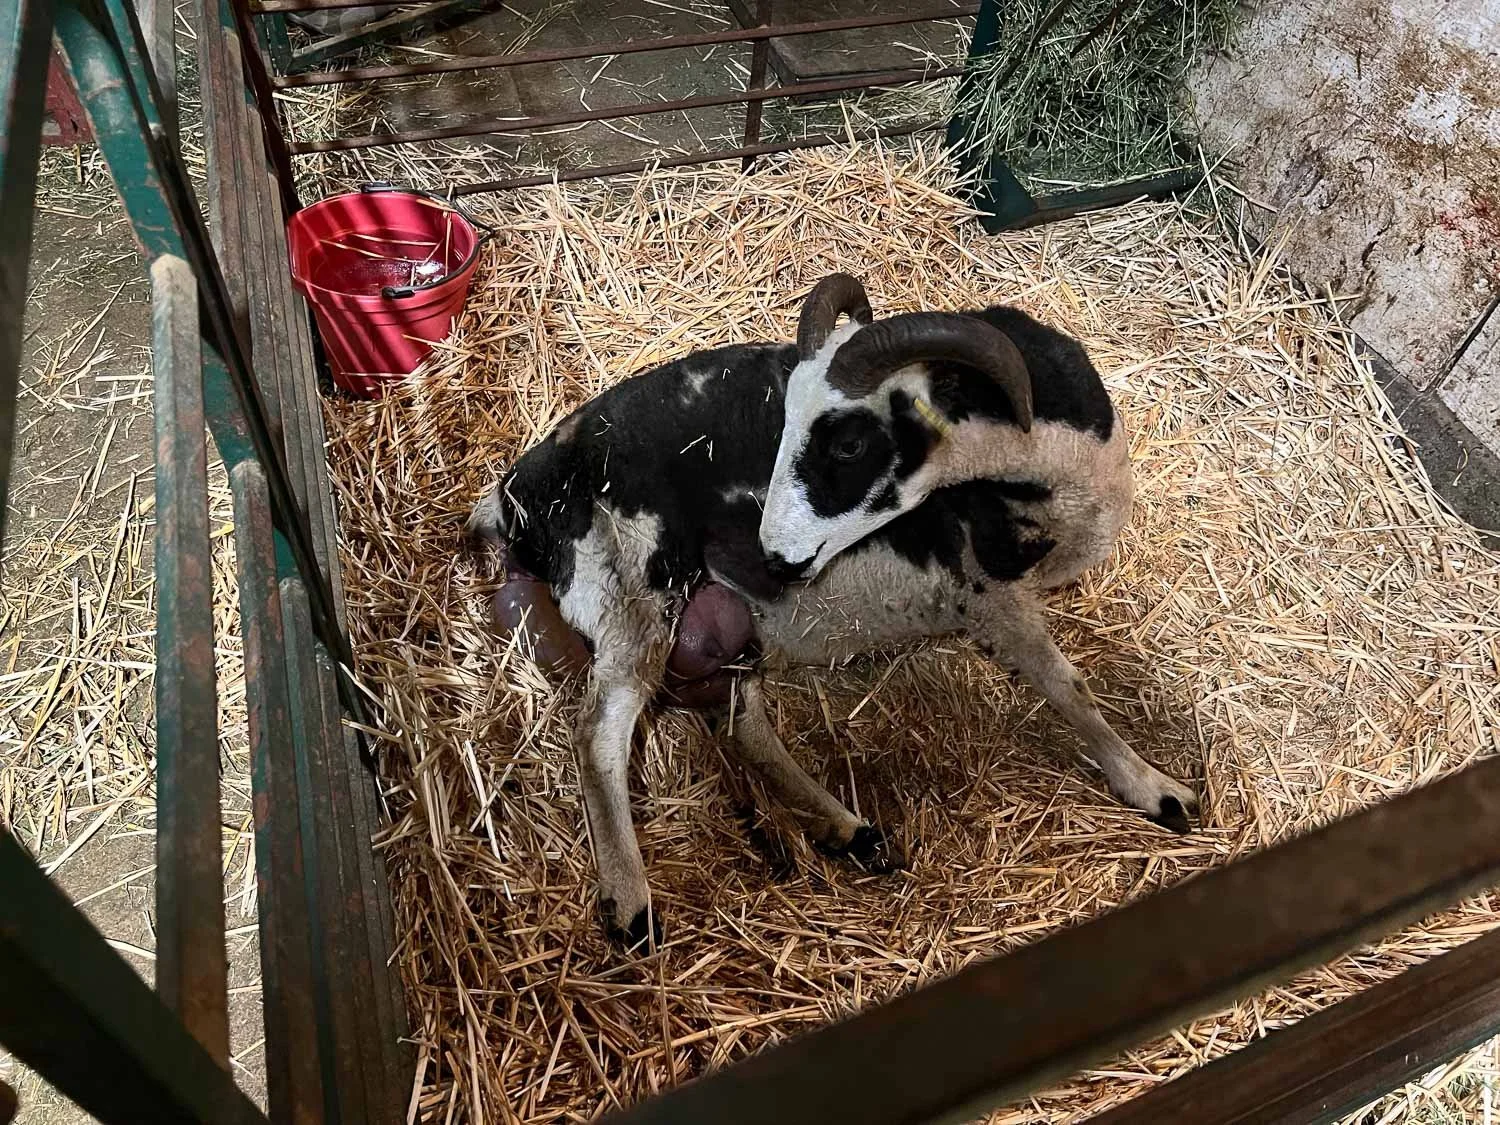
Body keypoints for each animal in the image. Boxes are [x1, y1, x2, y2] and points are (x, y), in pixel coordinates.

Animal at [468, 273, 1198, 947]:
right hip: (636, 593)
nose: (771, 555)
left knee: (742, 723)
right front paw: (1155, 788)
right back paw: (630, 903)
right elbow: (1069, 687)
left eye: (847, 443)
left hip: (721, 627)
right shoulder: (983, 590)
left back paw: (848, 829)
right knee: (599, 734)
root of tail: (513, 495)